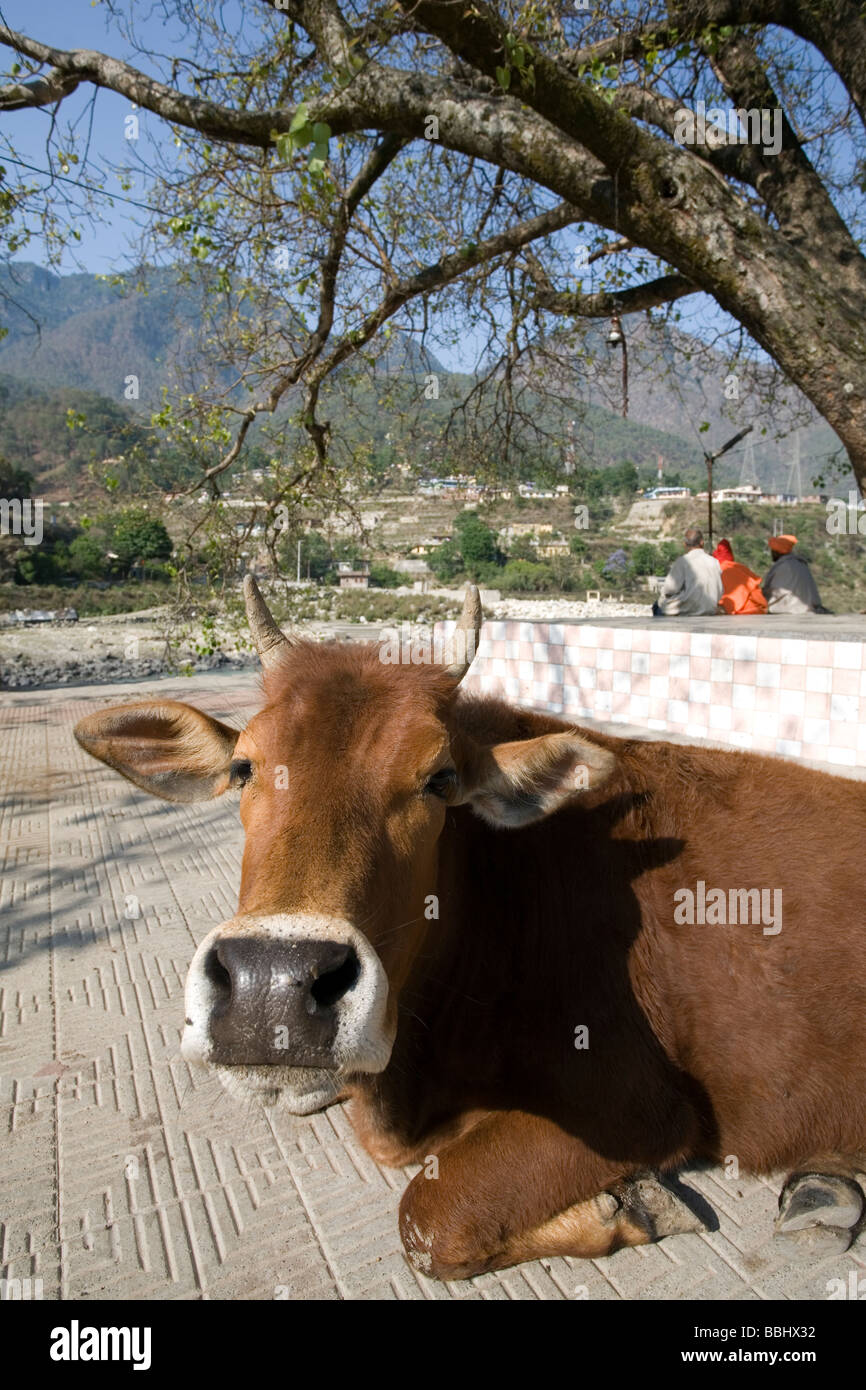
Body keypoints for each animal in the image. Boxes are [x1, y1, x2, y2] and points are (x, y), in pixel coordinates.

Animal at [73, 578, 866, 1279]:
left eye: (440, 778)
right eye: (244, 767)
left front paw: (630, 1202)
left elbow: (429, 1219)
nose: (273, 987)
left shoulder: (636, 1104)